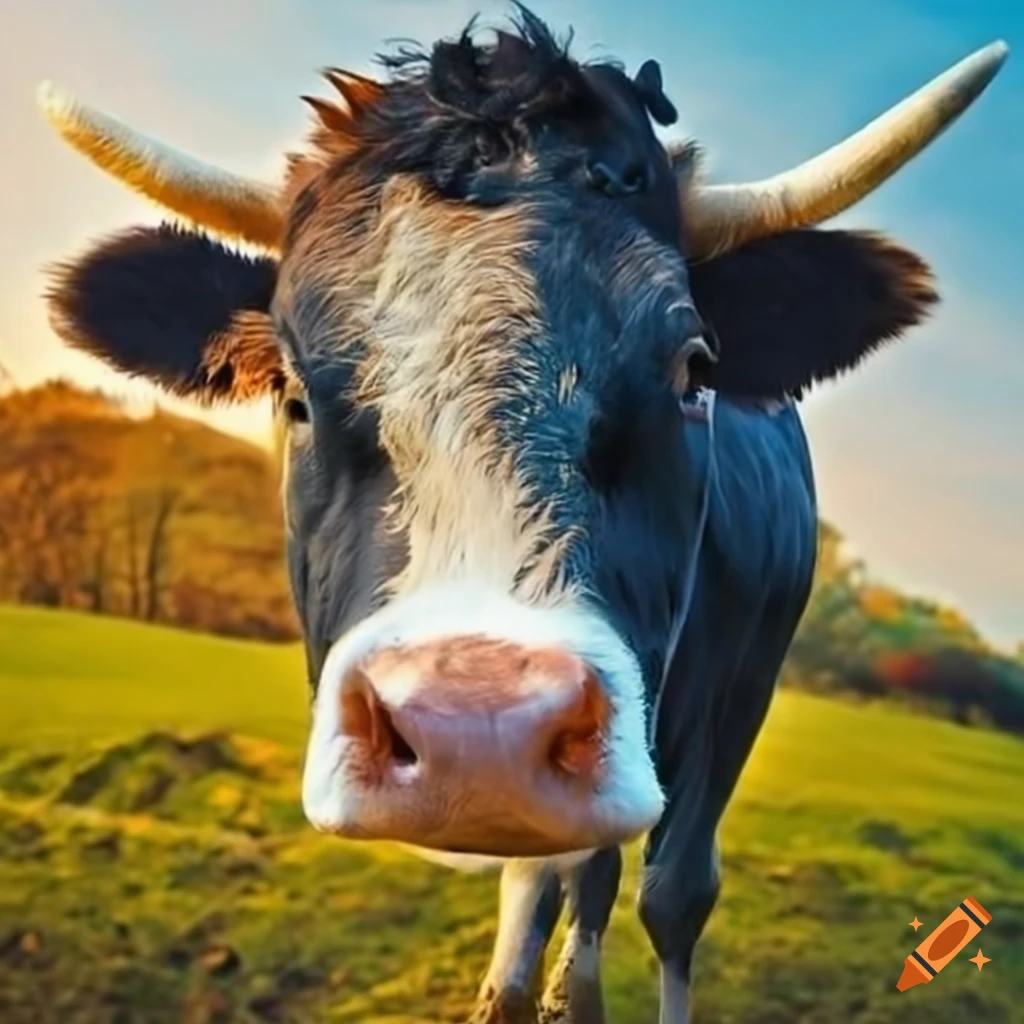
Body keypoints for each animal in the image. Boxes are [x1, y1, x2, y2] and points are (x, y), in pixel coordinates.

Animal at [36, 7, 1007, 1022]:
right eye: (292, 392)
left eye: (694, 370)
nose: (478, 739)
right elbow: (544, 895)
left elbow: (674, 895)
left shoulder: (735, 694)